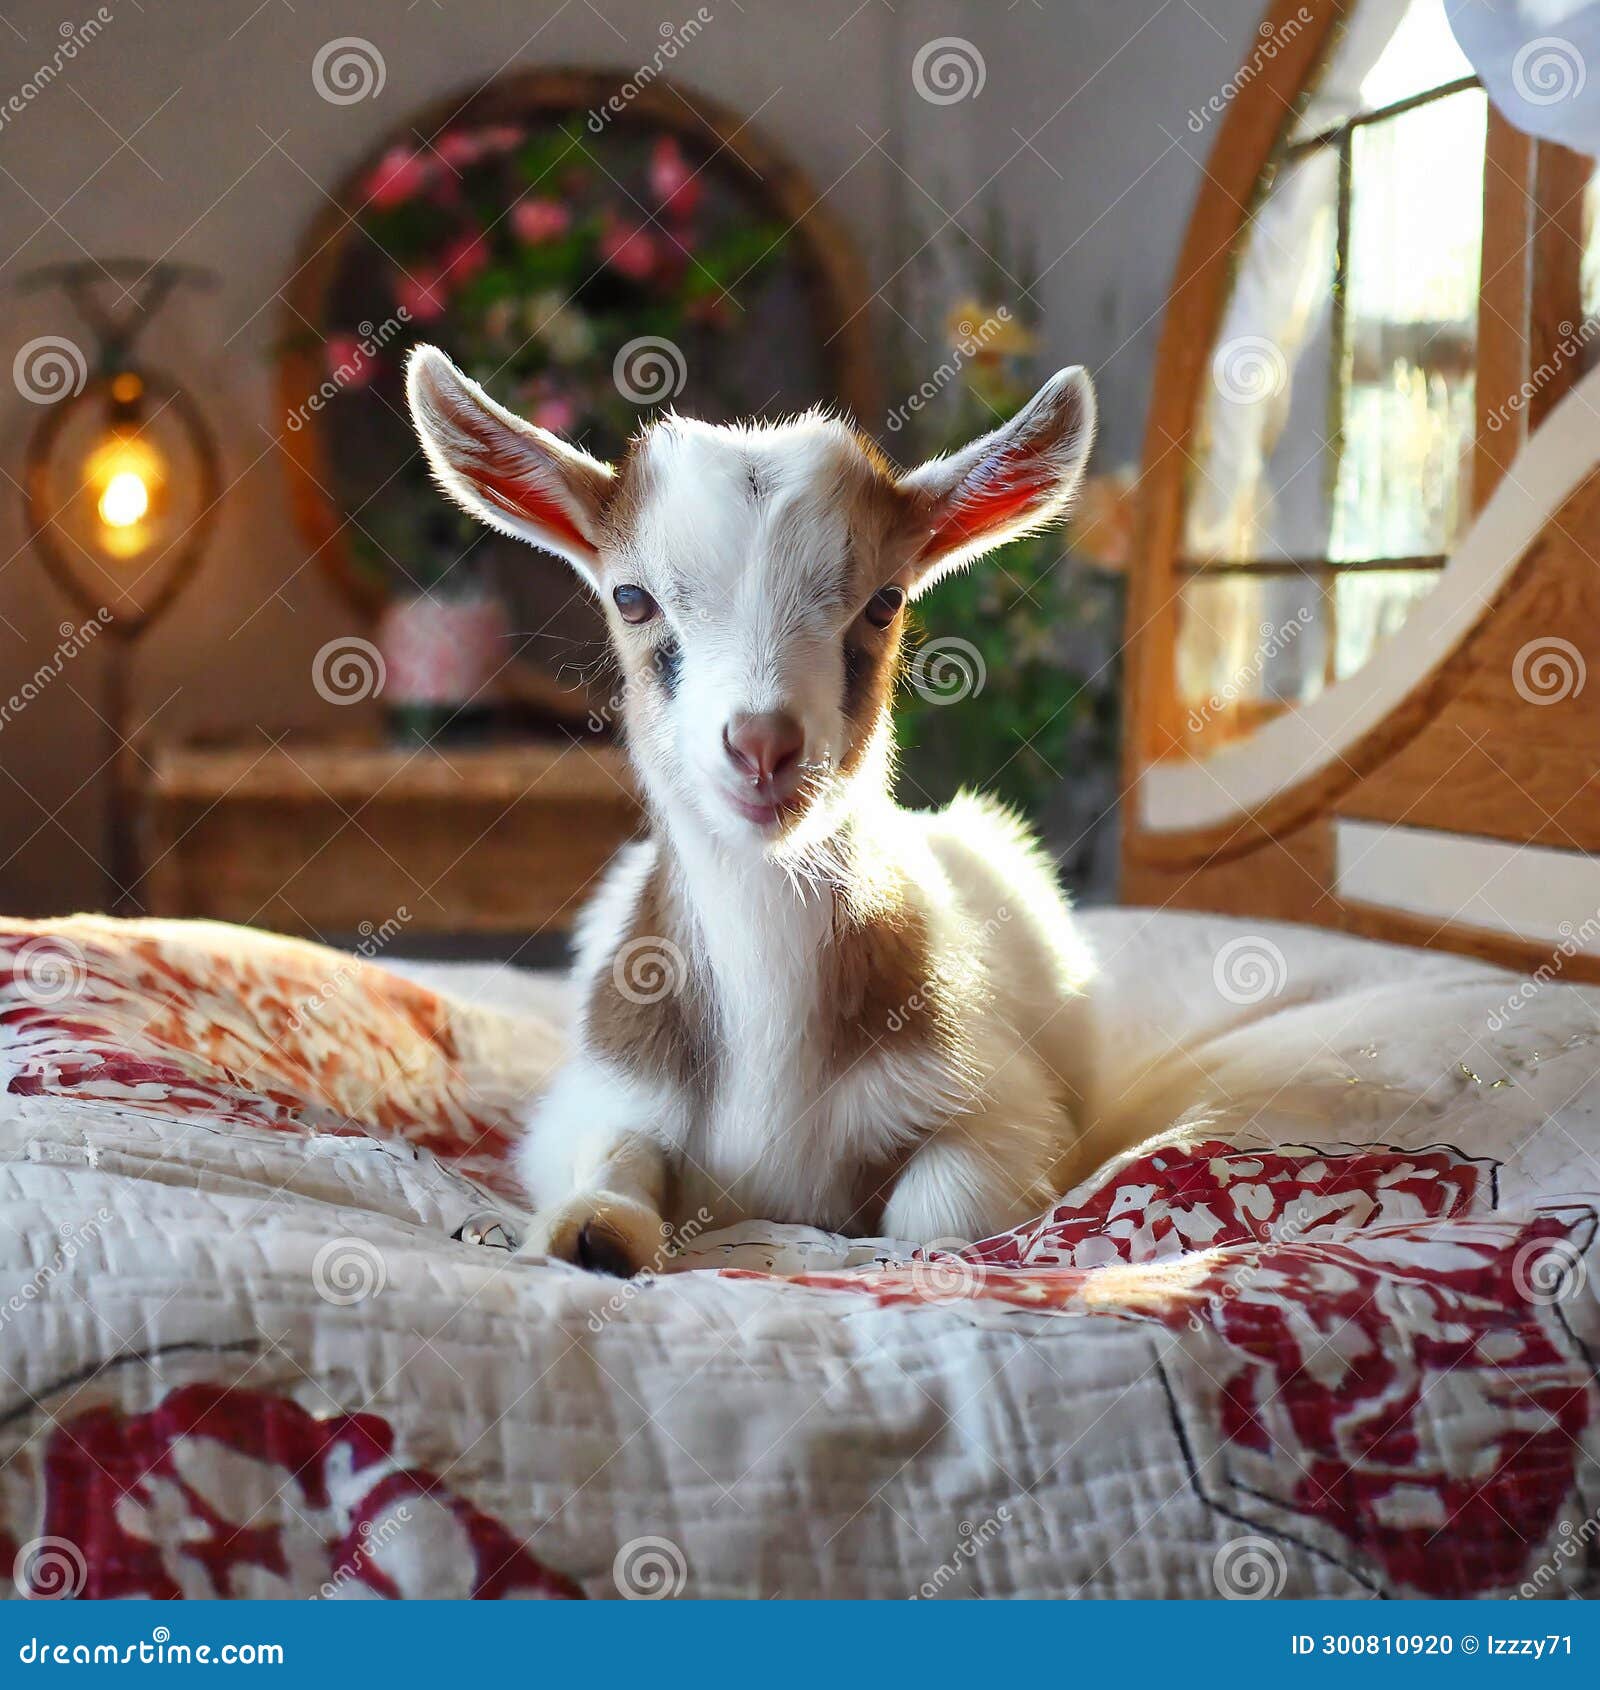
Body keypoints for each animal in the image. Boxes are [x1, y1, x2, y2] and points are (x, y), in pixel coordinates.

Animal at [408, 345, 1099, 1275]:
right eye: (632, 598)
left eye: (884, 600)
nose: (763, 745)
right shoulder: (602, 1093)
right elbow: (610, 1164)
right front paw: (589, 1232)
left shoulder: (1005, 1108)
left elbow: (941, 1207)